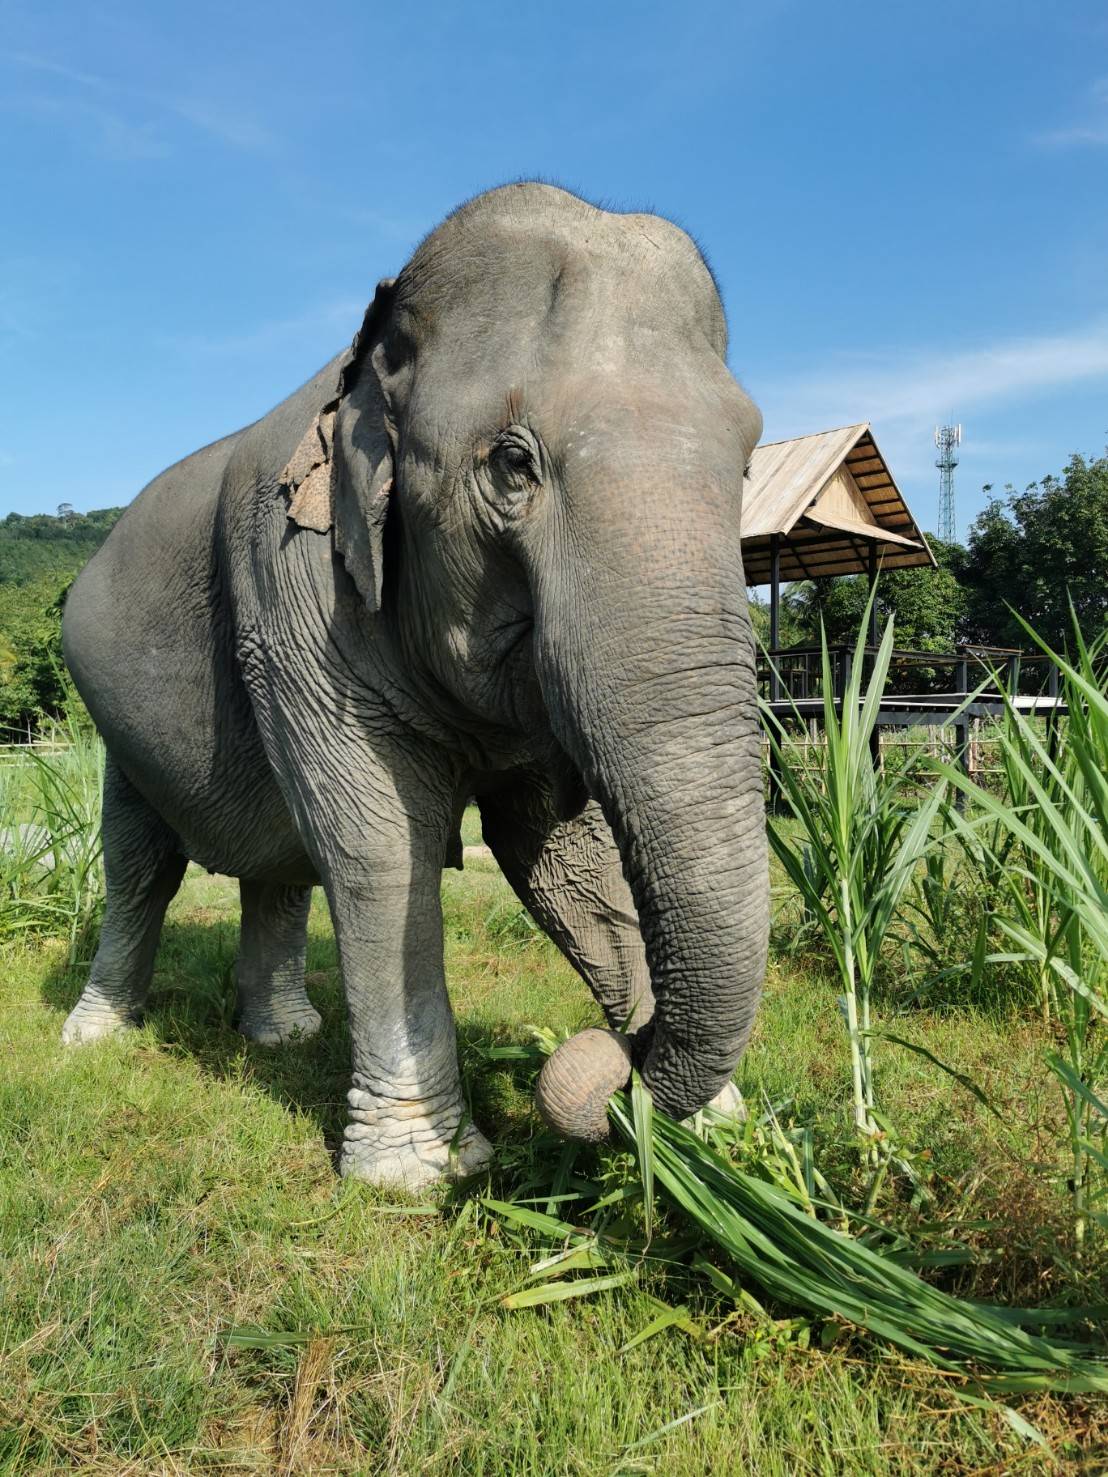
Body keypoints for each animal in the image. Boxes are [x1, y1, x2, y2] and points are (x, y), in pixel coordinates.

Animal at [60, 182, 769, 1188]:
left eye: (747, 460)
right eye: (512, 463)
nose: (615, 1056)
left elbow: (562, 854)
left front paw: (711, 1135)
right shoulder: (291, 587)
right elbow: (380, 847)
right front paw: (422, 1172)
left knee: (276, 864)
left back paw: (284, 1036)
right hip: (115, 723)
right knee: (140, 863)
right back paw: (96, 1037)